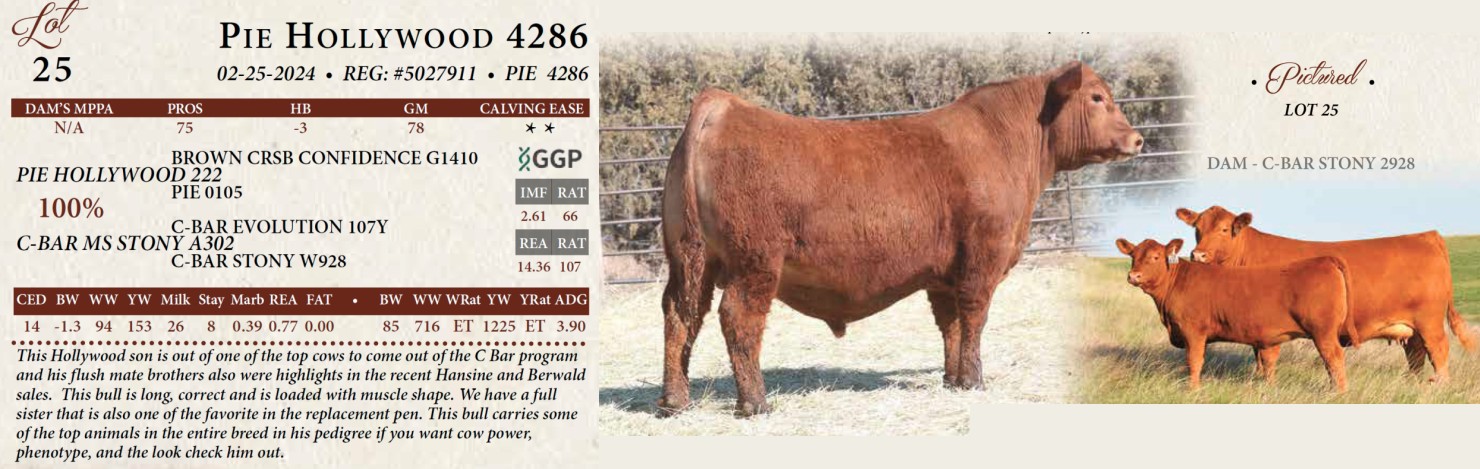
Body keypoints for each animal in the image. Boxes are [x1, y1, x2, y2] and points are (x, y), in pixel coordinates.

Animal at [657, 61, 1144, 417]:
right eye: (1098, 97)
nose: (1138, 139)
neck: (1004, 142)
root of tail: (723, 106)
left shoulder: (946, 272)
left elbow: (950, 324)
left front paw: (952, 379)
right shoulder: (982, 256)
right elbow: (974, 318)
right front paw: (974, 380)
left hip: (689, 258)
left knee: (680, 316)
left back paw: (674, 402)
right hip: (754, 262)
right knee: (738, 318)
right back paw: (755, 403)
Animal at [1115, 238, 1356, 391]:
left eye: (1156, 256)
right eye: (1132, 255)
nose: (1133, 276)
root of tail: (1325, 259)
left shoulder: (1193, 331)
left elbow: (1194, 361)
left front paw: (1193, 390)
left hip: (1323, 332)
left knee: (1334, 359)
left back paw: (1339, 392)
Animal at [1175, 205, 1479, 383]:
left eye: (1225, 229)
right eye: (1197, 229)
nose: (1198, 254)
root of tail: (1427, 235)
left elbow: (1263, 354)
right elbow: (1259, 356)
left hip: (1429, 322)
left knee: (1438, 352)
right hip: (1411, 328)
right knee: (1416, 356)